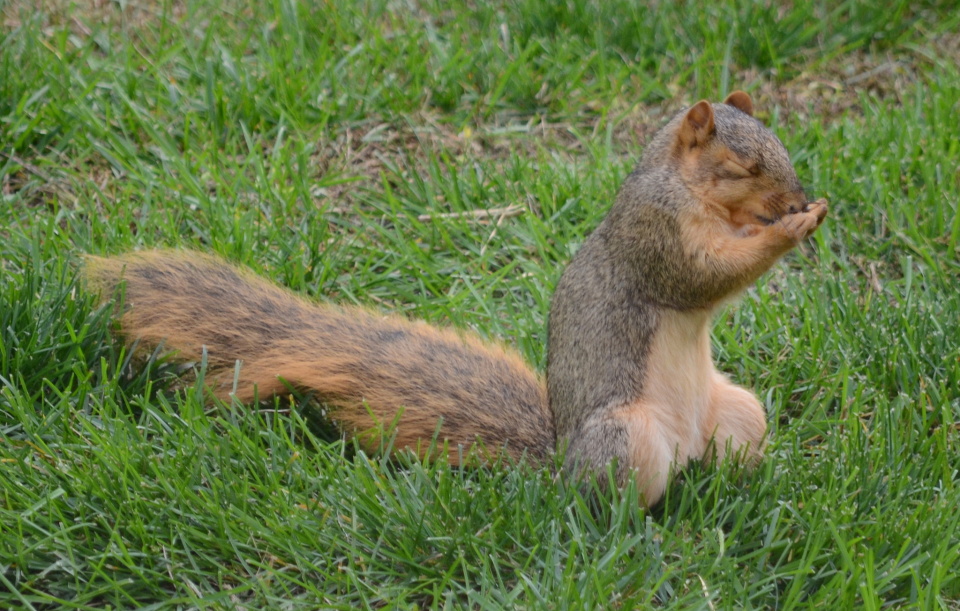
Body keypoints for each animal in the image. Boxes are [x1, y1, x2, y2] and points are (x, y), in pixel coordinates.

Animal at [83, 91, 827, 507]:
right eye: (742, 166)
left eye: (783, 149)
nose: (795, 197)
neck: (685, 187)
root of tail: (560, 466)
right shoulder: (656, 236)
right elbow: (704, 272)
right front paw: (790, 229)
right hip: (626, 439)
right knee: (613, 508)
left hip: (738, 414)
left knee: (720, 460)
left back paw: (748, 487)